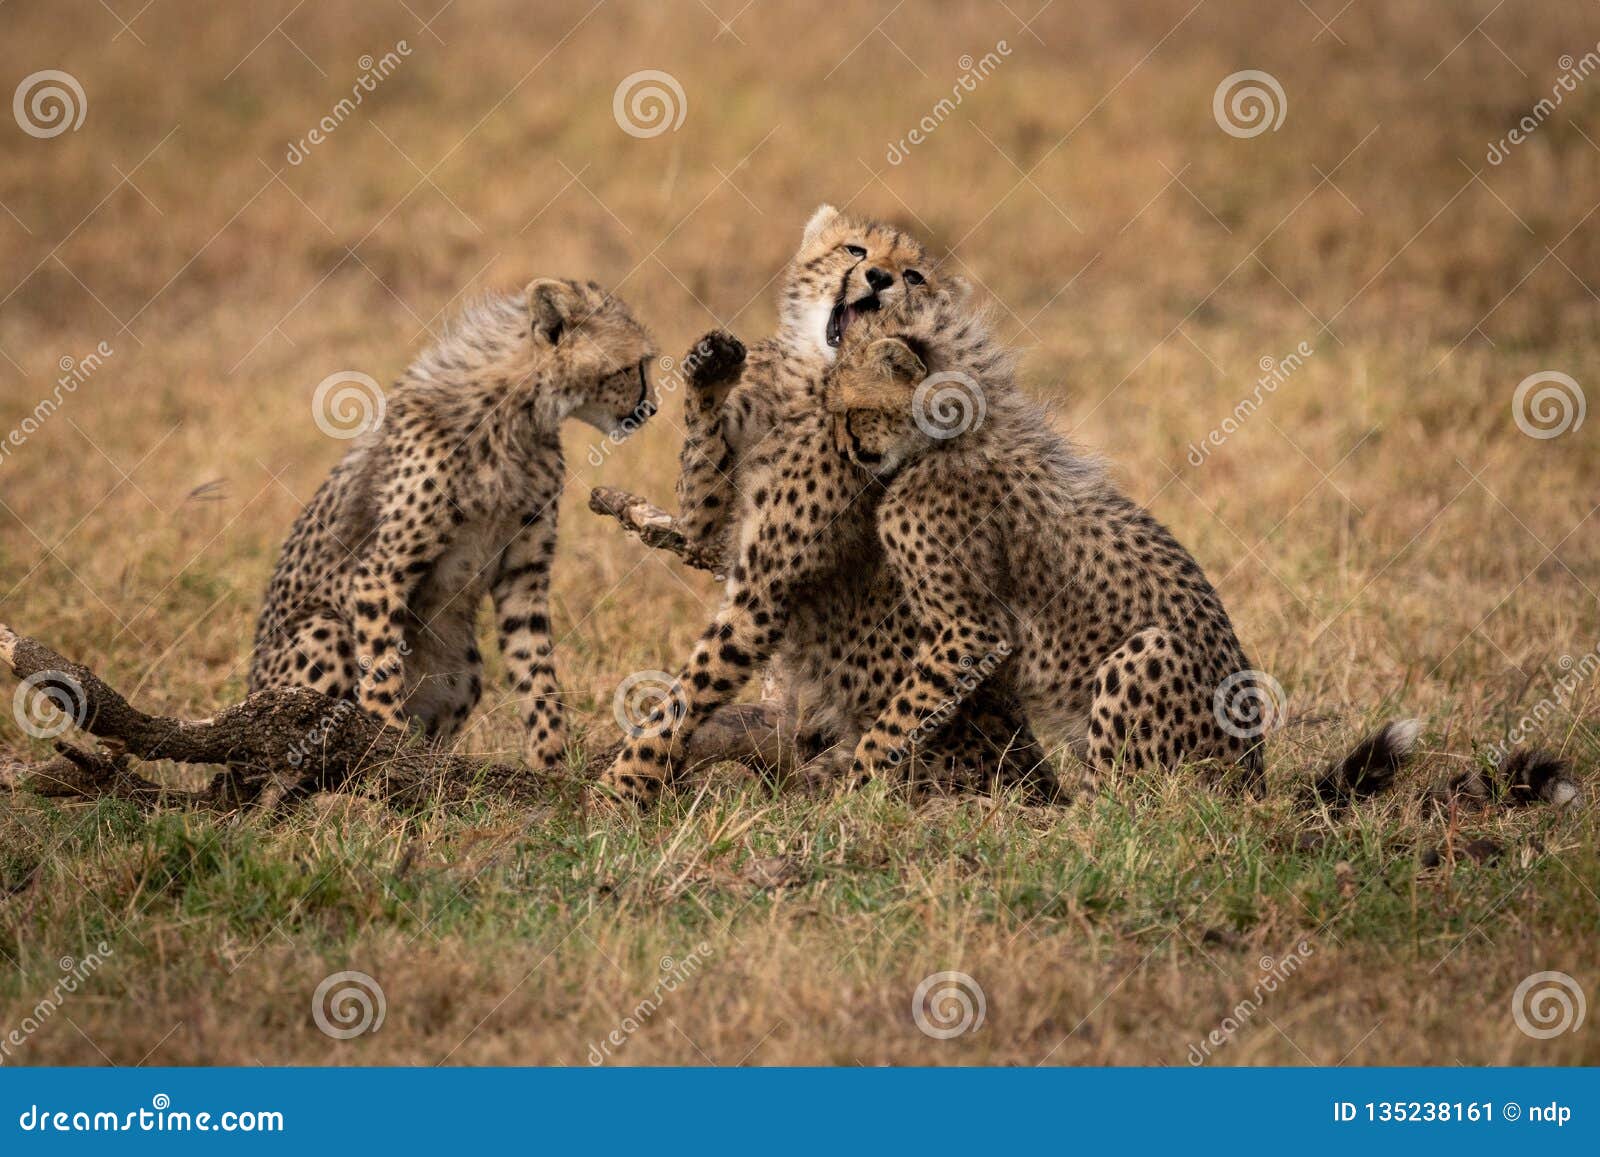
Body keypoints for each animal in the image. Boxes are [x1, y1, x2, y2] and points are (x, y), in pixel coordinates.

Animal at [250, 278, 658, 771]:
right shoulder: (379, 574)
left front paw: (552, 764)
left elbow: (537, 670)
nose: (653, 408)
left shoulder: (524, 575)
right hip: (320, 633)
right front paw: (388, 751)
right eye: (632, 367)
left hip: (464, 669)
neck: (515, 415)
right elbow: (381, 670)